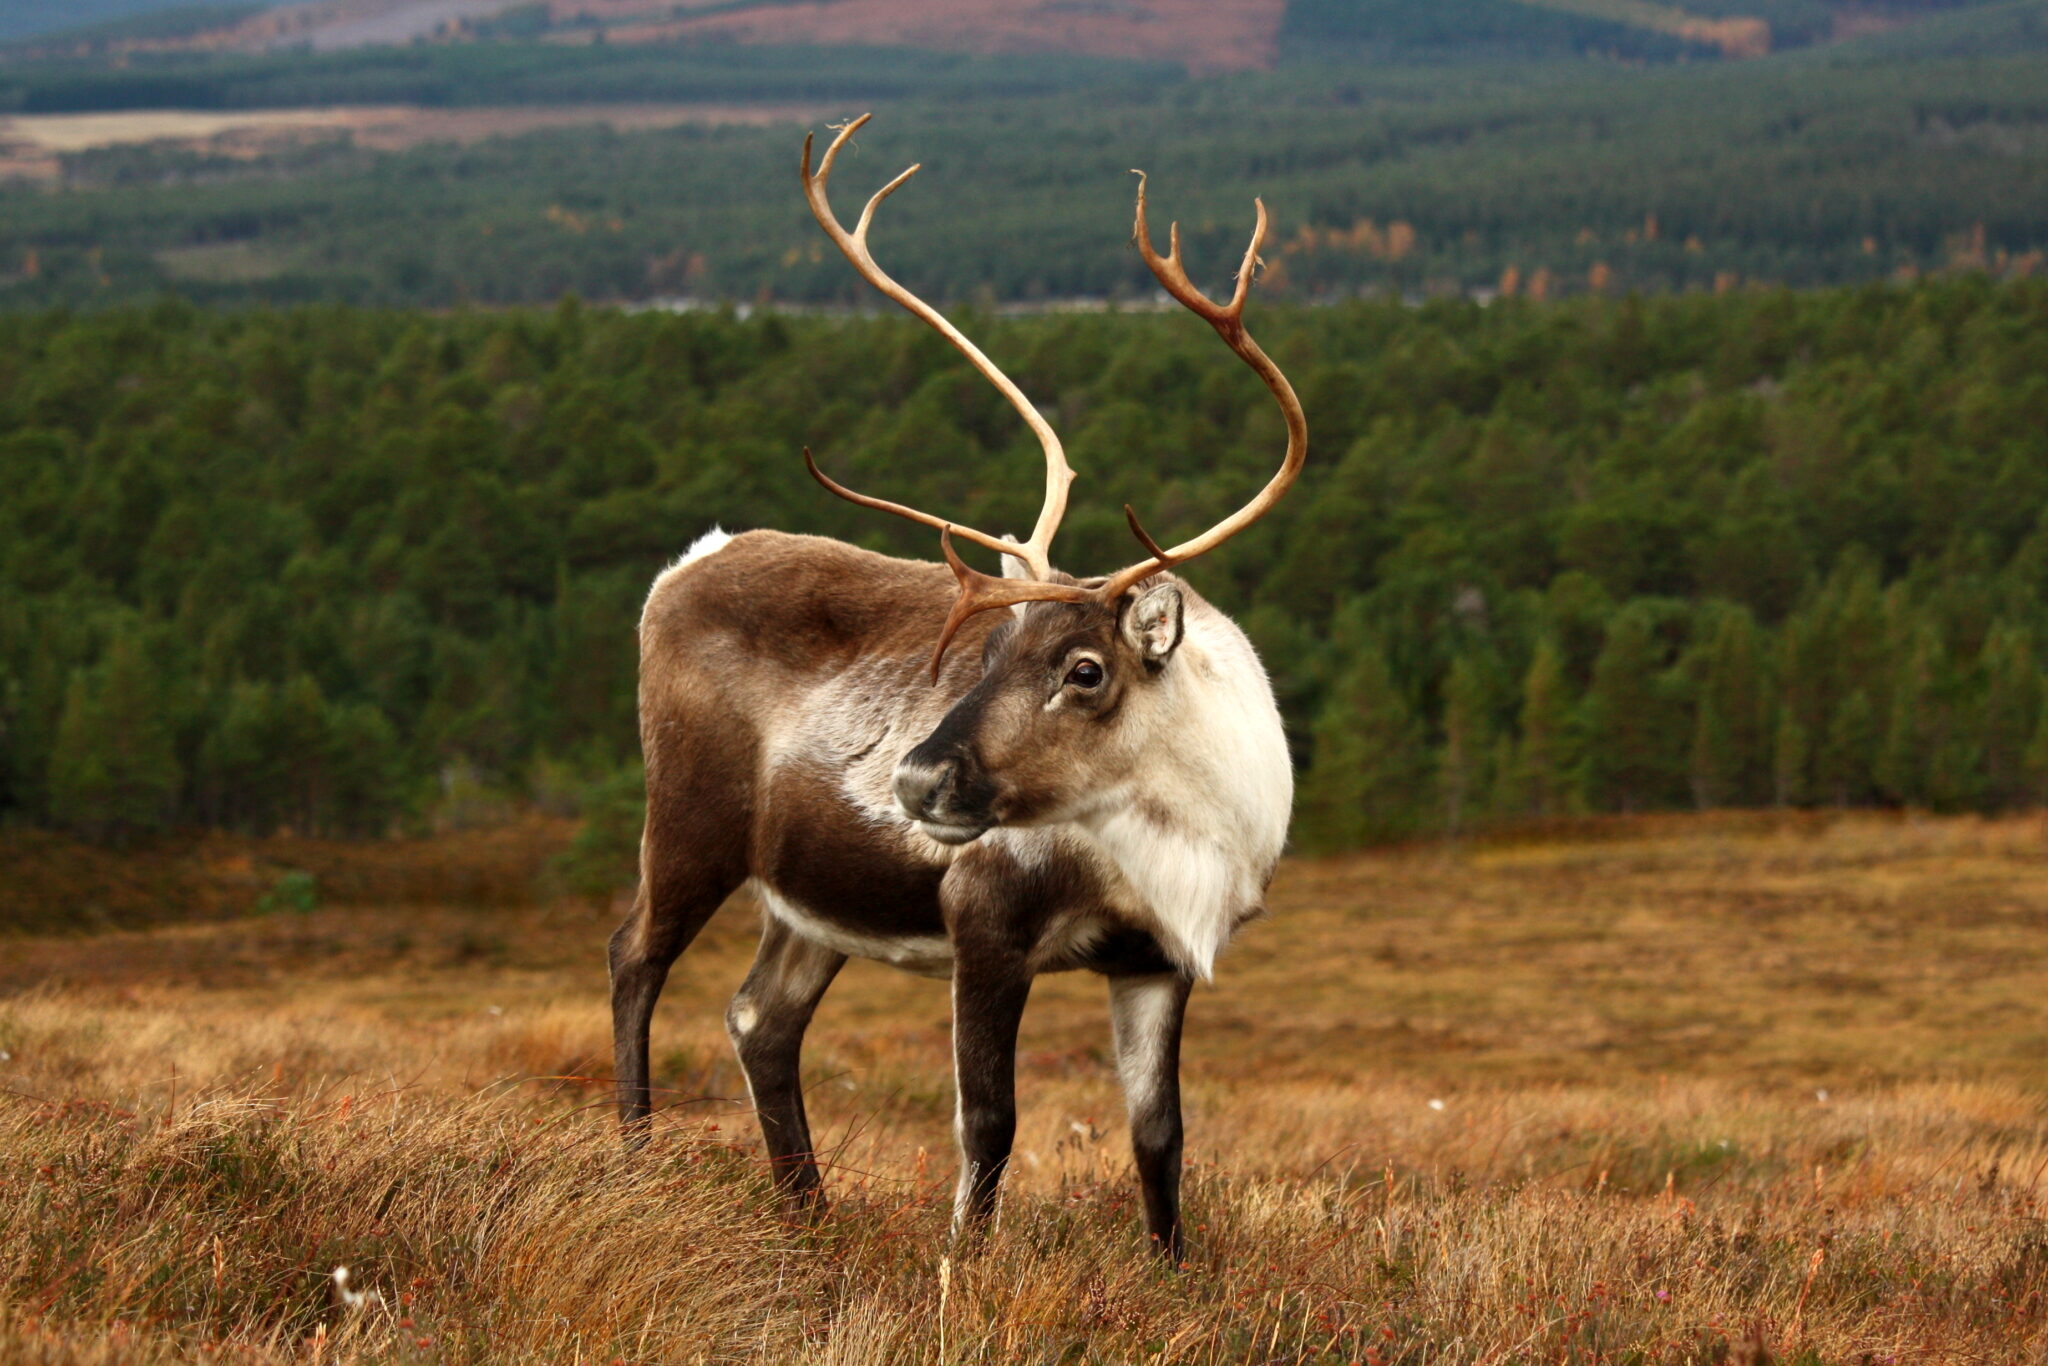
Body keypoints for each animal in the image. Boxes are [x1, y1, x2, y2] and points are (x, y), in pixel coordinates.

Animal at [609, 114, 1306, 1261]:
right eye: (986, 651)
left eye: (1084, 669)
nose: (915, 778)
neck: (1182, 830)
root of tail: (684, 564)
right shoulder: (984, 923)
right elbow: (989, 1120)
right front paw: (962, 1268)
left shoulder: (1155, 959)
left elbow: (1160, 1137)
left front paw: (1175, 1273)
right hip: (688, 820)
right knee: (634, 958)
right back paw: (633, 1161)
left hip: (809, 900)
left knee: (761, 1017)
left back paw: (807, 1216)